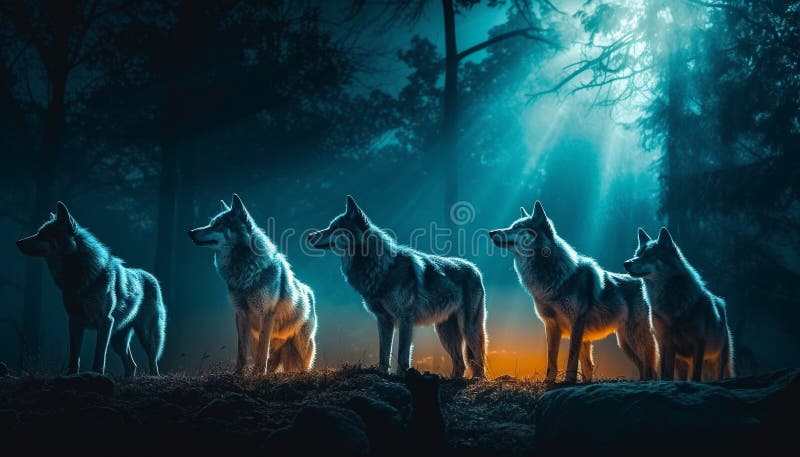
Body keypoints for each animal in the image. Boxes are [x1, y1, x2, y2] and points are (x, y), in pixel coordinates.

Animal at [16, 202, 166, 376]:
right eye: (38, 233)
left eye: (43, 234)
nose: (18, 242)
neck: (78, 278)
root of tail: (152, 277)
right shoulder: (74, 322)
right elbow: (75, 356)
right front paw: (71, 375)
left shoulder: (105, 322)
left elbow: (99, 357)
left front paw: (96, 375)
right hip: (117, 340)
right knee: (132, 365)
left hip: (145, 336)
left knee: (153, 361)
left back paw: (154, 375)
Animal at [189, 194, 317, 374]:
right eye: (211, 223)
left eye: (218, 224)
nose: (190, 232)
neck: (244, 273)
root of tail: (308, 291)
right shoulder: (240, 314)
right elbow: (242, 351)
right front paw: (238, 373)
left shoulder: (267, 314)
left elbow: (263, 349)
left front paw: (258, 373)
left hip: (301, 347)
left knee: (301, 364)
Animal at [308, 196, 487, 378]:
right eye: (330, 226)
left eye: (335, 228)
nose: (309, 236)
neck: (381, 267)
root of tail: (475, 269)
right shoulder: (383, 319)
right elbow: (383, 353)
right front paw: (382, 373)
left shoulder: (405, 319)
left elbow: (402, 353)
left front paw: (403, 375)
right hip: (444, 331)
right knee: (460, 364)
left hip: (468, 329)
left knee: (478, 360)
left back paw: (478, 379)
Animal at [490, 201, 657, 383]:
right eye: (511, 226)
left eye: (517, 227)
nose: (491, 232)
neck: (554, 279)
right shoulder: (551, 325)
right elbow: (554, 360)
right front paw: (549, 381)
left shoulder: (577, 323)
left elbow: (572, 358)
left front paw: (569, 381)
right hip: (625, 343)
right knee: (645, 367)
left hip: (635, 338)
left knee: (651, 367)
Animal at [624, 227, 734, 381]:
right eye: (637, 254)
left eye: (649, 255)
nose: (626, 263)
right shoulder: (664, 343)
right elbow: (666, 374)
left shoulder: (699, 343)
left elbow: (695, 375)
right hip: (681, 362)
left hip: (717, 362)